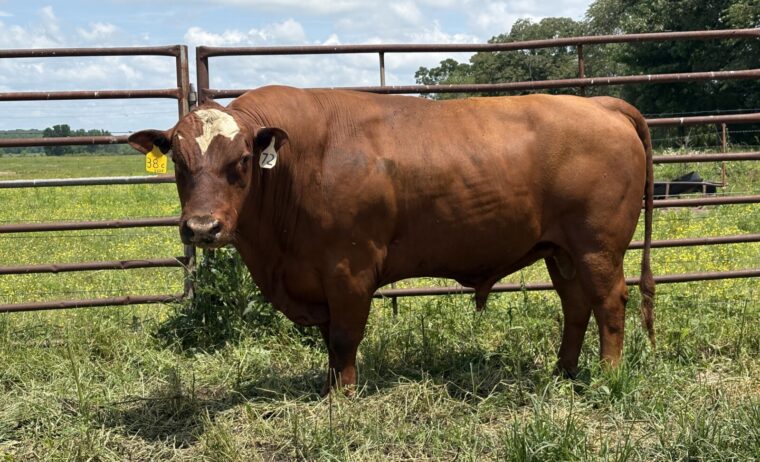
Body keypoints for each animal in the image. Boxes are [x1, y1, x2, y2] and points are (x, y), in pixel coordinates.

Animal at [129, 85, 655, 394]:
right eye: (178, 161)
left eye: (240, 160)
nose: (202, 228)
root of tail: (599, 103)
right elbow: (330, 340)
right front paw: (329, 386)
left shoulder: (349, 269)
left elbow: (344, 336)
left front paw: (344, 396)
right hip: (561, 251)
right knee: (576, 305)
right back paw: (564, 370)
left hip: (597, 246)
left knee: (609, 302)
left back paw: (607, 377)